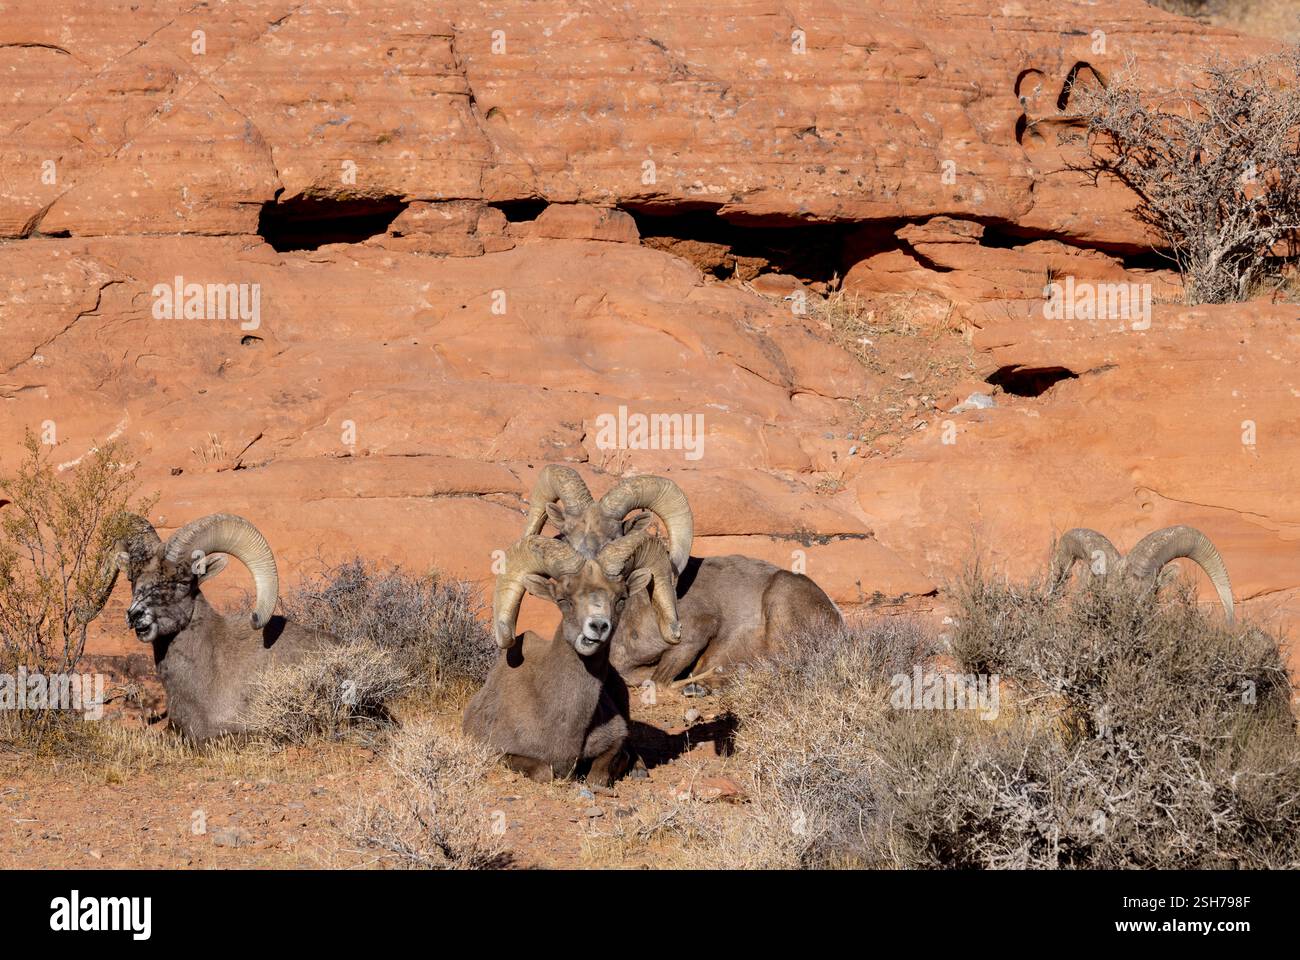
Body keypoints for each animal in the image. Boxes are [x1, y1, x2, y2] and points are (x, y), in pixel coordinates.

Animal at [462, 528, 678, 787]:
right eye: (563, 599)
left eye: (621, 599)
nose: (598, 627)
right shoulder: (502, 752)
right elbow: (545, 772)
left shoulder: (614, 740)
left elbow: (599, 775)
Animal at [522, 465, 842, 692]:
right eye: (568, 535)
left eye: (613, 536)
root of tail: (836, 619)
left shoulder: (696, 633)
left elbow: (657, 680)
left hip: (780, 596)